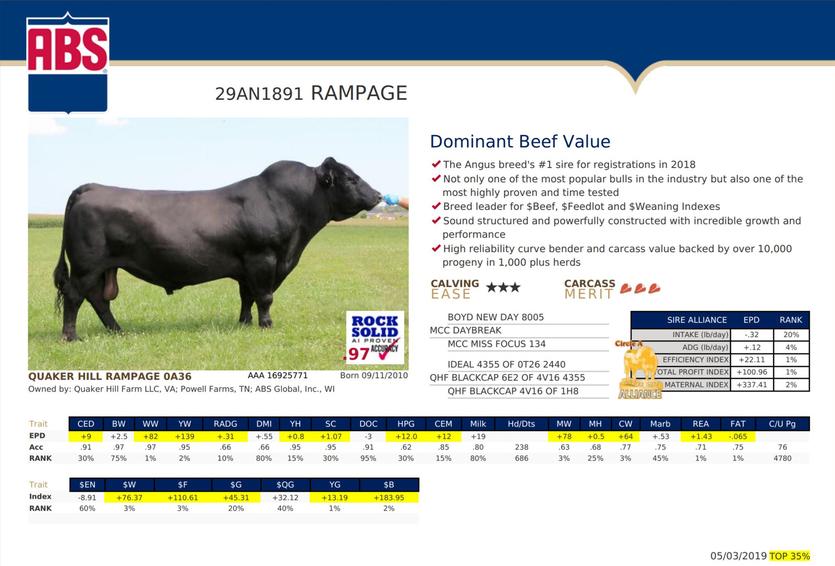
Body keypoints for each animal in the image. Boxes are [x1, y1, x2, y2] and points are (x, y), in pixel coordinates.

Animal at [53, 157, 382, 341]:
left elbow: (248, 296)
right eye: (351, 178)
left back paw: (118, 331)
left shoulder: (249, 267)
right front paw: (266, 325)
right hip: (87, 265)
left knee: (98, 300)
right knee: (75, 296)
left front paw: (244, 323)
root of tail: (92, 187)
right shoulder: (263, 258)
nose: (379, 194)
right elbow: (265, 296)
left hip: (102, 267)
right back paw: (70, 336)